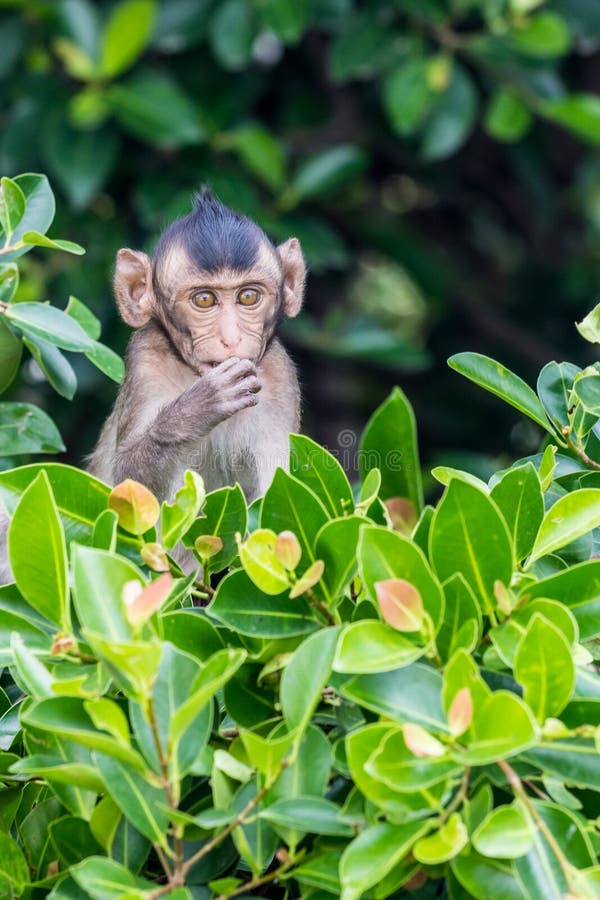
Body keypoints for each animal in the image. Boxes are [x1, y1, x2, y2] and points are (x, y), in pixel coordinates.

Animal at [86, 189, 306, 506]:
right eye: (204, 300)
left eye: (248, 296)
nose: (231, 338)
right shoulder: (144, 360)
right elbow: (128, 486)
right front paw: (197, 408)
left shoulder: (279, 376)